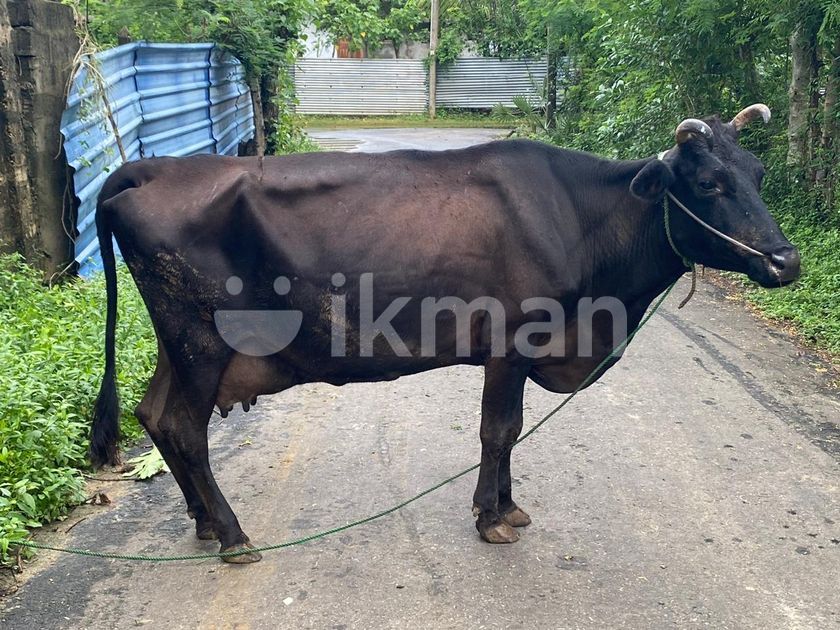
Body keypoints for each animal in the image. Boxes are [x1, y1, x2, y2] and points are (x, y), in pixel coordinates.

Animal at [89, 104, 800, 563]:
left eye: (760, 174)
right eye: (708, 182)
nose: (785, 261)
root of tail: (153, 169)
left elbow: (511, 429)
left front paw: (508, 506)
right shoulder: (512, 341)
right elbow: (499, 429)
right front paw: (491, 518)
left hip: (178, 345)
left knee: (155, 415)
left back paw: (206, 524)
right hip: (200, 341)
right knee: (185, 428)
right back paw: (234, 537)